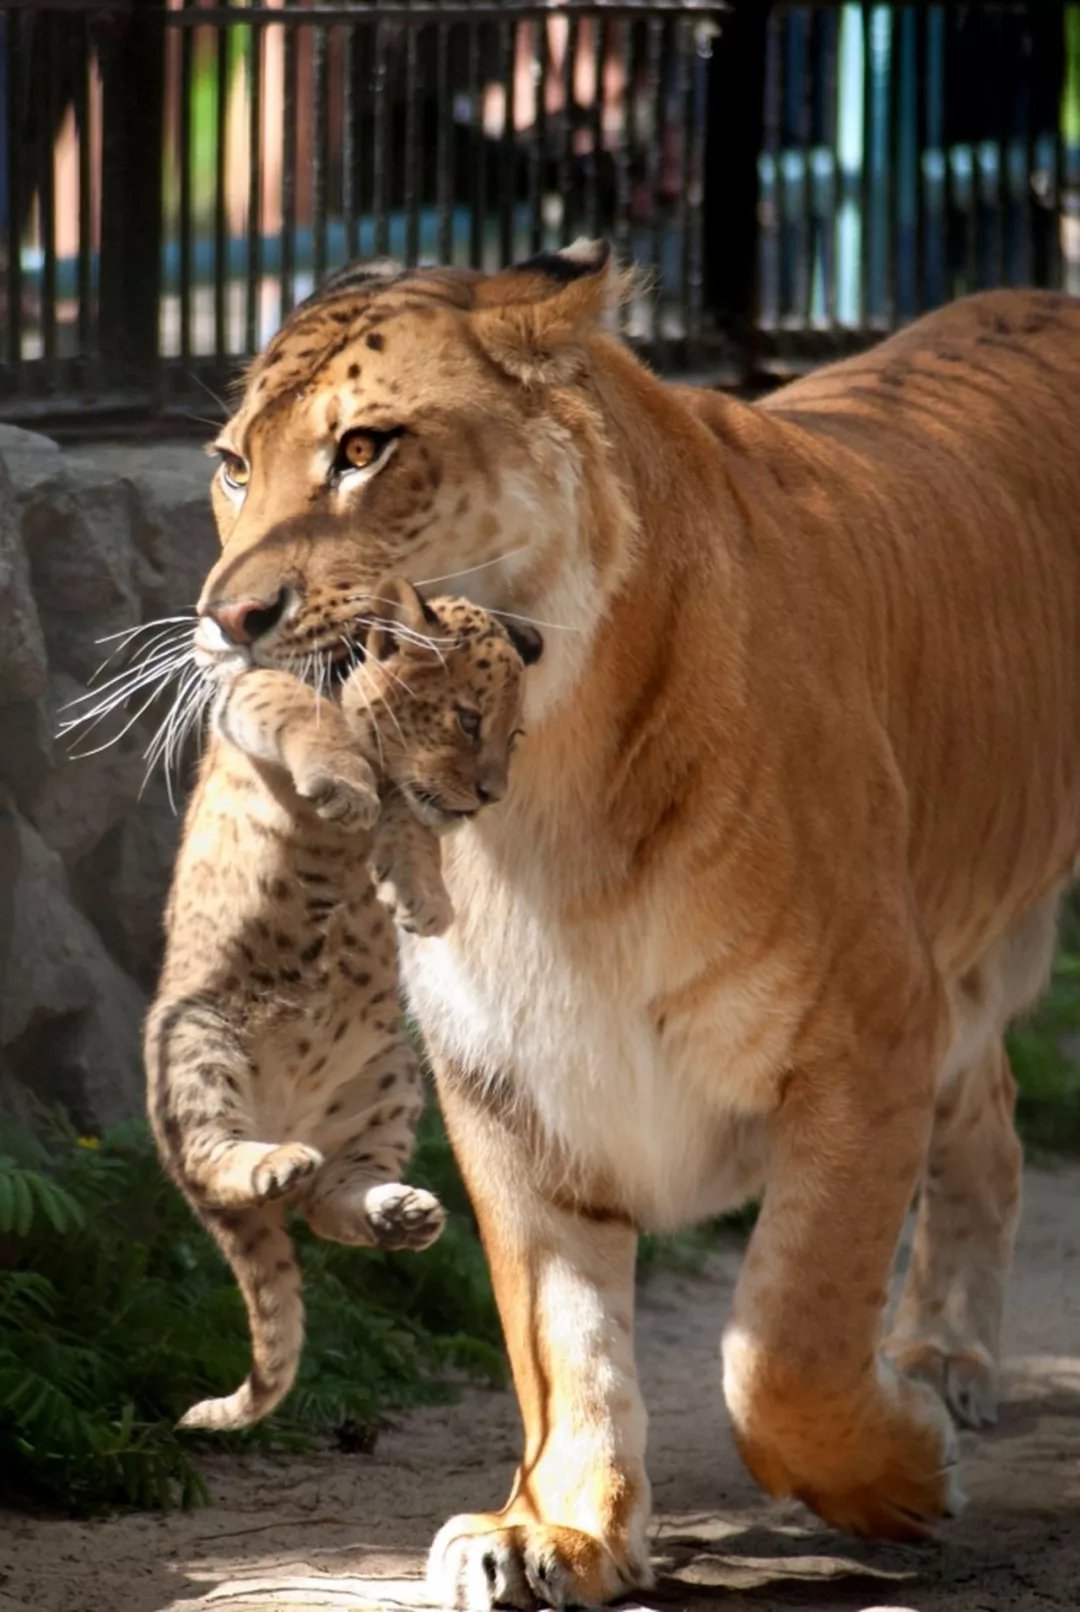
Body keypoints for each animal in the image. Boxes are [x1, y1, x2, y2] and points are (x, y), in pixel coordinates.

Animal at [185, 239, 1080, 1607]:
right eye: (235, 466)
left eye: (365, 449)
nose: (229, 623)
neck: (539, 817)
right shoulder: (504, 1074)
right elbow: (560, 1339)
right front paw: (556, 1529)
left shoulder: (868, 1029)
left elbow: (781, 1344)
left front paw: (902, 1477)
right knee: (989, 1112)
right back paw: (943, 1351)